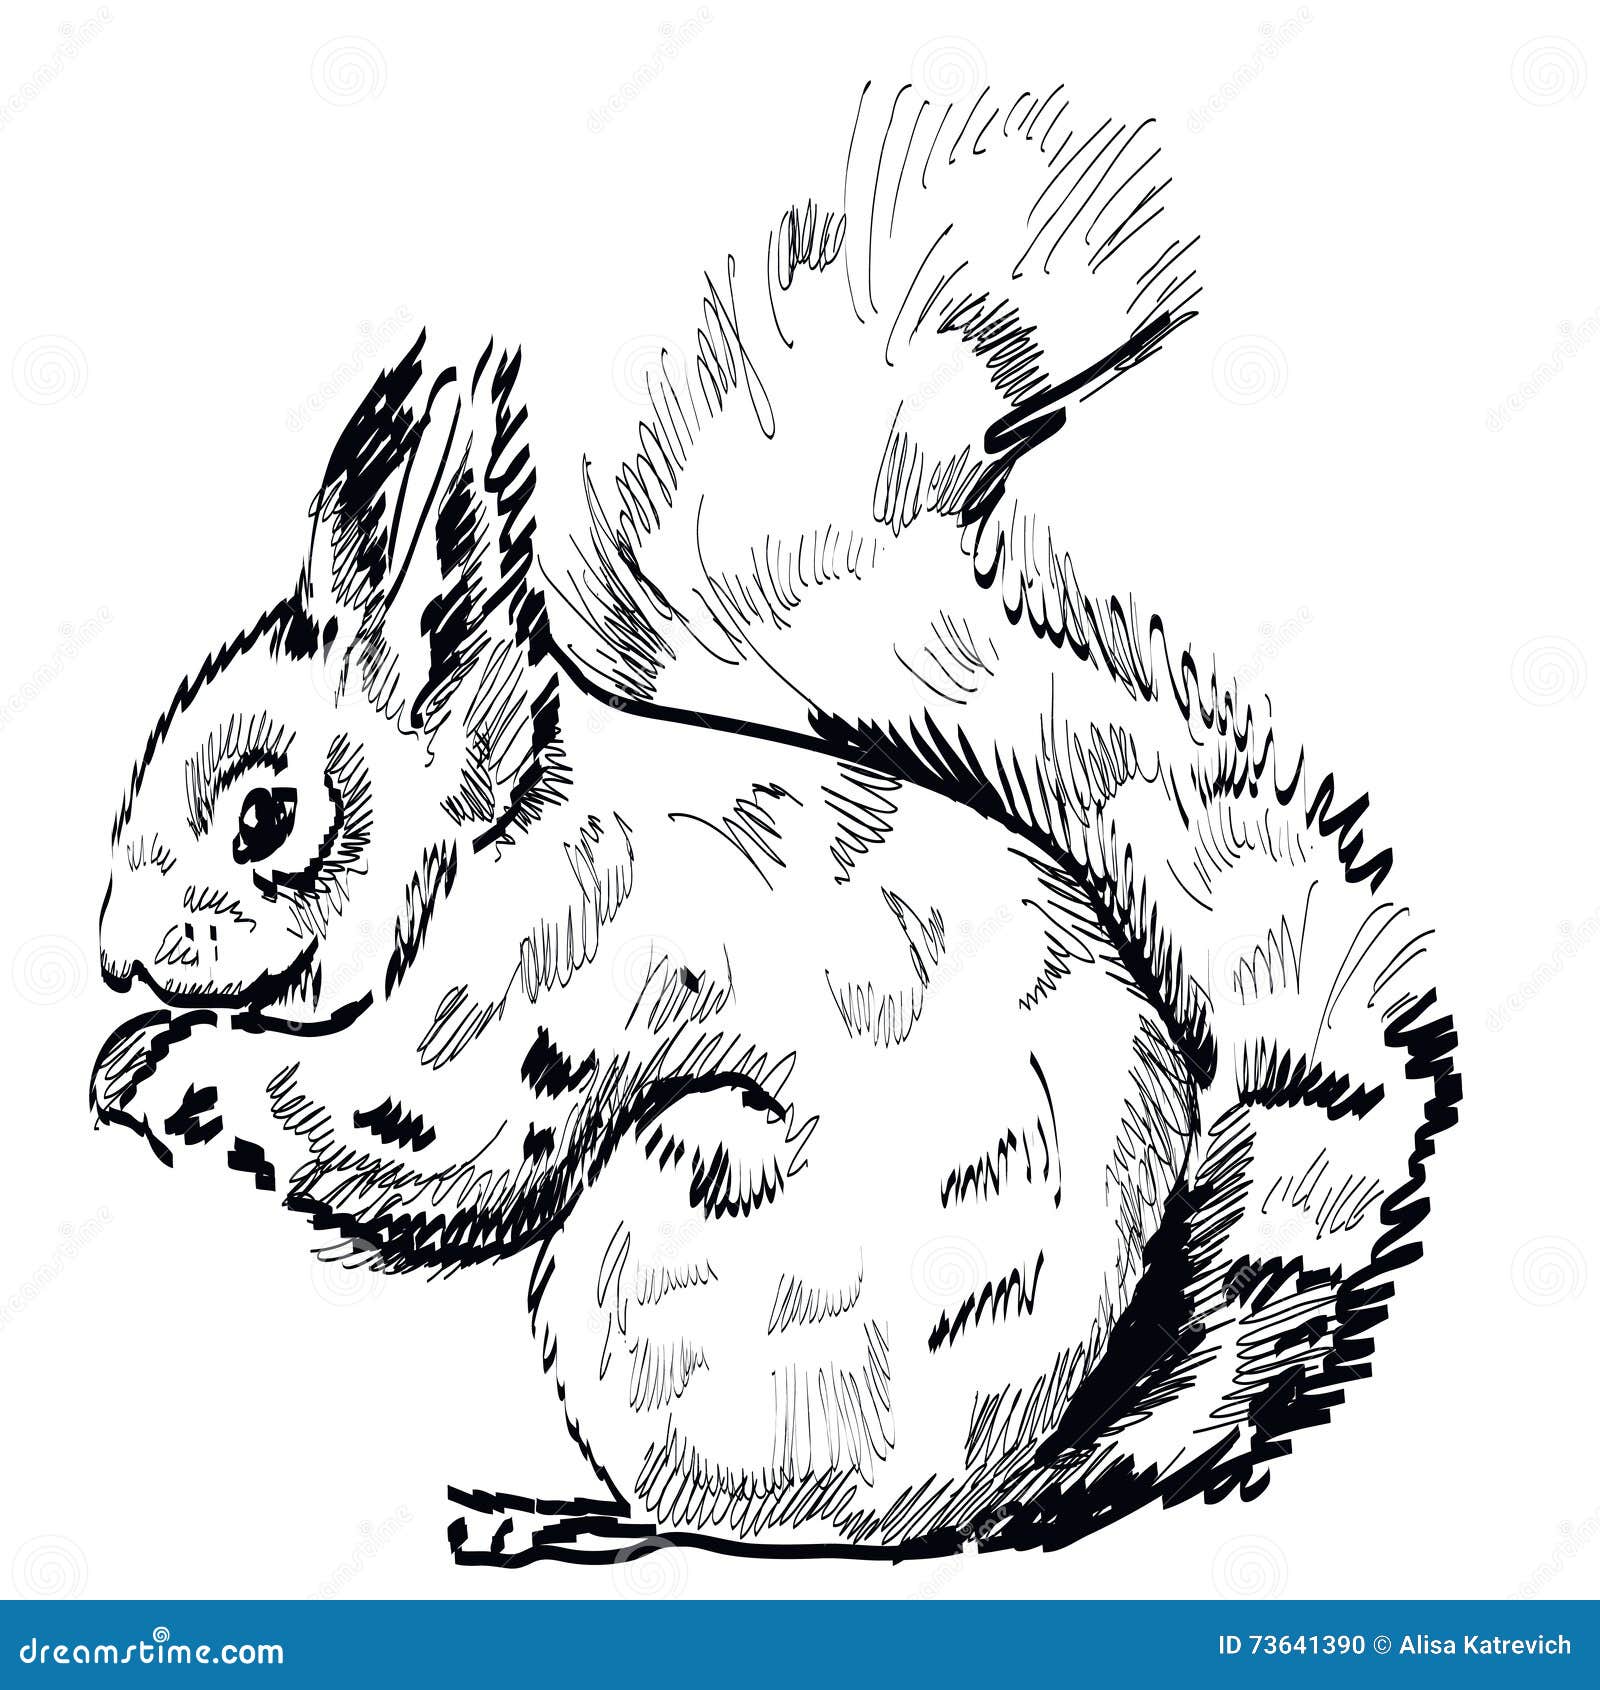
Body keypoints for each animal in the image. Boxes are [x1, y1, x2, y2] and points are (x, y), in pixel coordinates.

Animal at [91, 83, 1460, 1563]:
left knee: (710, 1522)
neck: (501, 834)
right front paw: (131, 1050)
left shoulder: (552, 976)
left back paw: (553, 1513)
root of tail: (1002, 1483)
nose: (115, 957)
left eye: (267, 814)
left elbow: (423, 1130)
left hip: (667, 1243)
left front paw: (190, 1069)